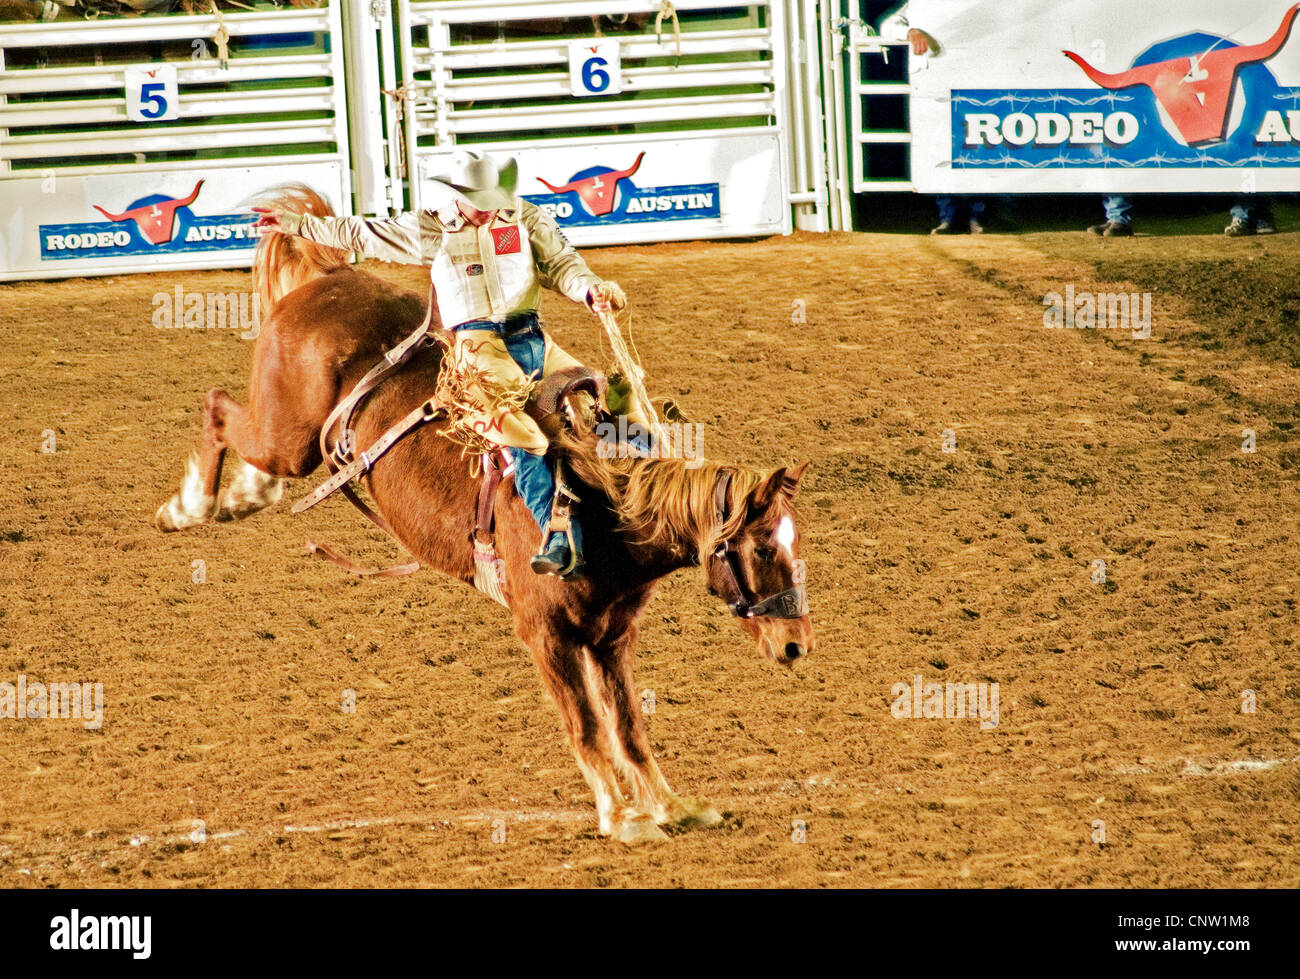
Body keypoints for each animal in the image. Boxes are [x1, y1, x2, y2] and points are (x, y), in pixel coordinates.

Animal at [154, 186, 815, 844]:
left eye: (795, 544)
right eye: (761, 548)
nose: (796, 645)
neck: (601, 508)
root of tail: (331, 278)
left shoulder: (612, 636)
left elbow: (628, 725)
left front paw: (669, 805)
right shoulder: (545, 634)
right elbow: (587, 727)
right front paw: (623, 816)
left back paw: (241, 496)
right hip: (287, 437)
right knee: (219, 408)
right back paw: (188, 508)